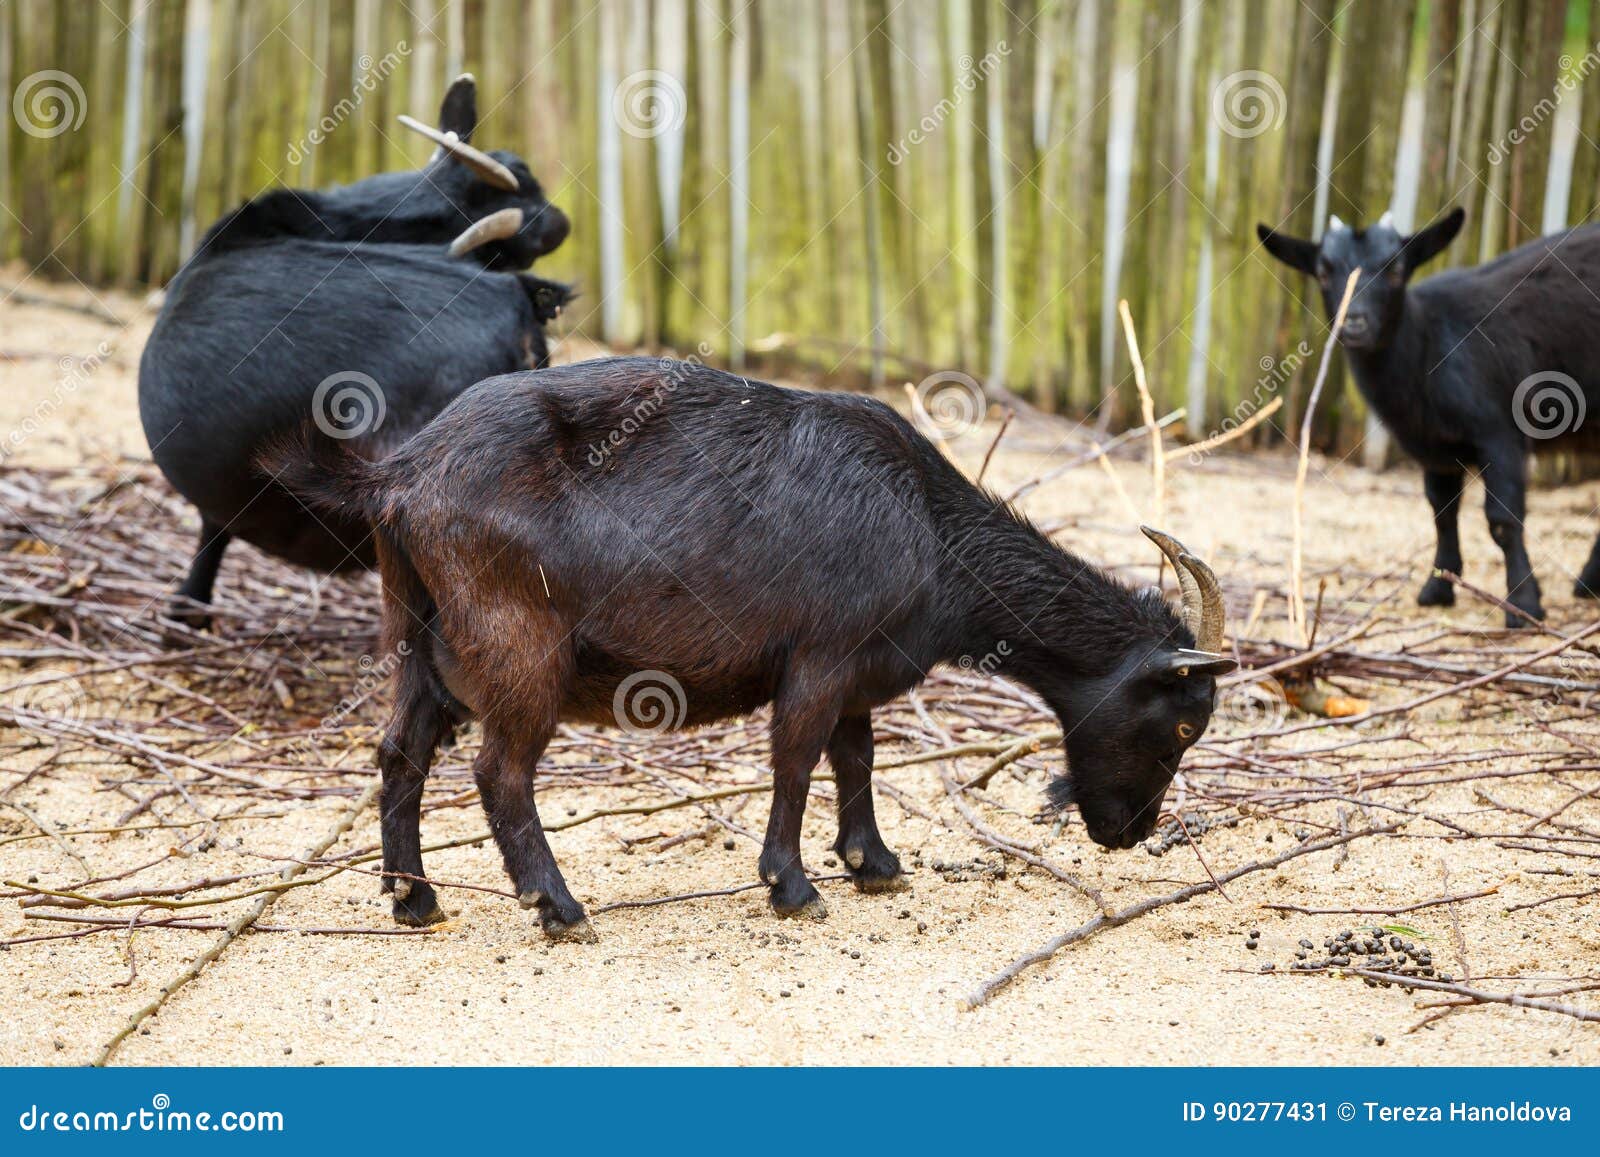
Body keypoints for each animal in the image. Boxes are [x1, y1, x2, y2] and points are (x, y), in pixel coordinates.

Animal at [263, 357, 1236, 940]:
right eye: (1185, 724)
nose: (1128, 832)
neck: (927, 522)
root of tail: (398, 475)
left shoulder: (854, 673)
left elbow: (856, 755)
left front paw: (875, 863)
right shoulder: (820, 657)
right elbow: (798, 758)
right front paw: (793, 885)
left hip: (421, 641)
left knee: (400, 752)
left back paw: (414, 899)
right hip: (517, 646)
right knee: (501, 769)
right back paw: (560, 906)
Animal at [1259, 208, 1600, 626]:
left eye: (1396, 270)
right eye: (1323, 272)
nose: (1354, 322)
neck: (1429, 347)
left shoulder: (1500, 432)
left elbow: (1502, 519)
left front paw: (1523, 604)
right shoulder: (1434, 447)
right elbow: (1442, 513)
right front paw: (1438, 588)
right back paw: (1589, 583)